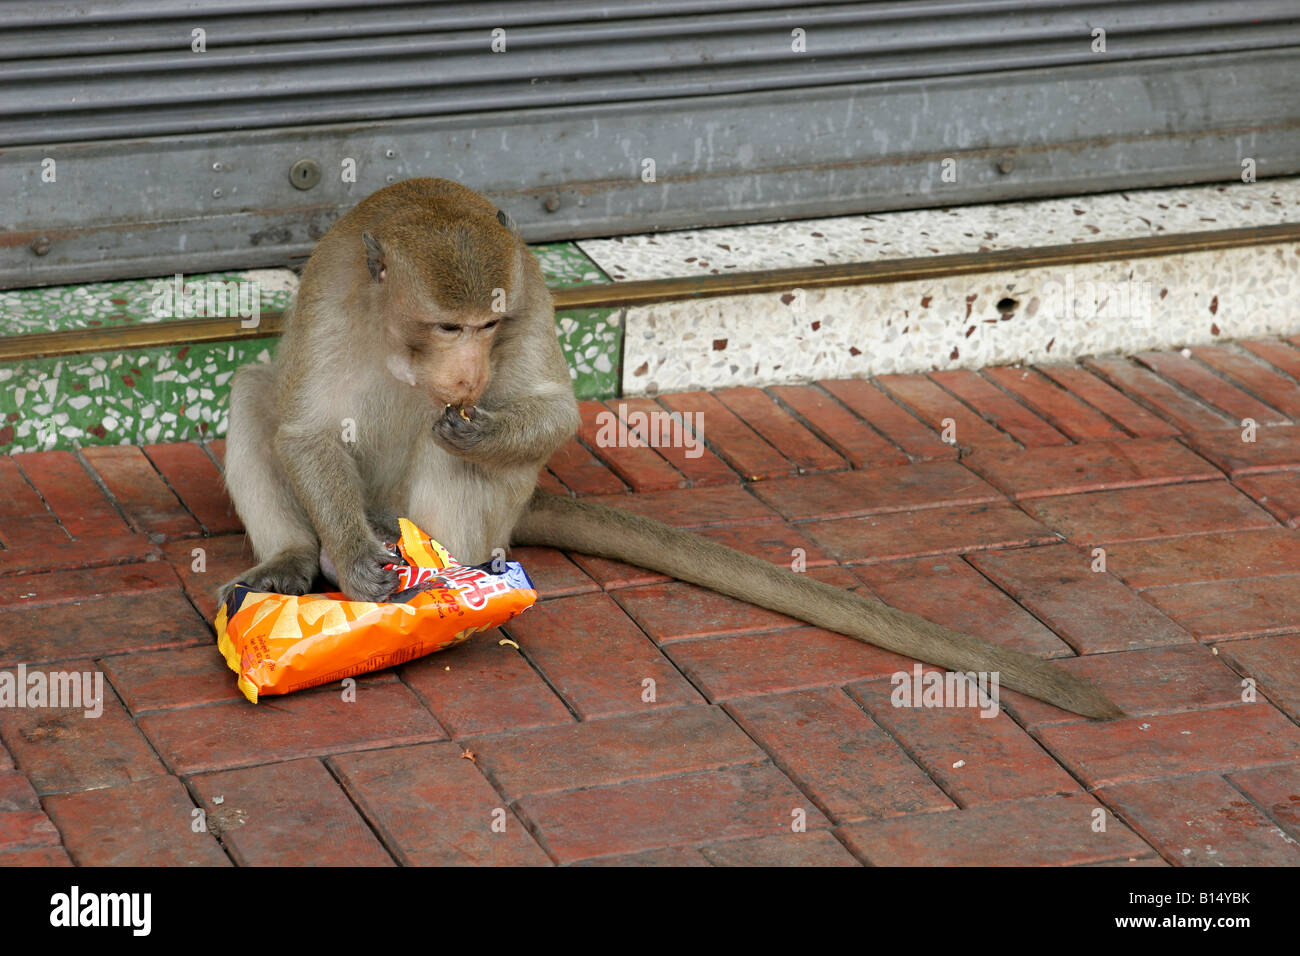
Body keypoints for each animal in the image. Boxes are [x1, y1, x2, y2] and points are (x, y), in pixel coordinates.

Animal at [220, 177, 1122, 721]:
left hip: (480, 527)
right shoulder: (332, 294)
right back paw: (298, 562)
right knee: (254, 390)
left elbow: (548, 412)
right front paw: (349, 558)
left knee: (453, 464)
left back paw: (448, 594)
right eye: (449, 326)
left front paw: (482, 425)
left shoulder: (529, 286)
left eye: (488, 324)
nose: (470, 372)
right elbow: (303, 427)